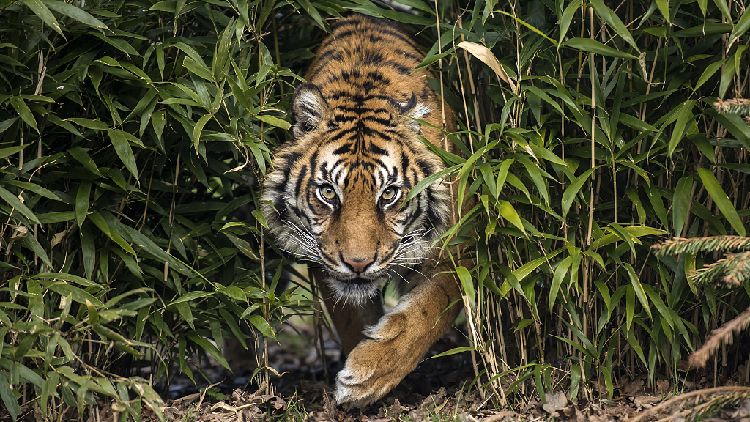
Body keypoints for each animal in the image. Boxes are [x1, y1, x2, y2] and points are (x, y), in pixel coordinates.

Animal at [261, 14, 463, 408]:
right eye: (327, 192)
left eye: (389, 194)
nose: (358, 263)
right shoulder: (323, 260)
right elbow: (352, 318)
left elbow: (430, 312)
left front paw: (367, 377)